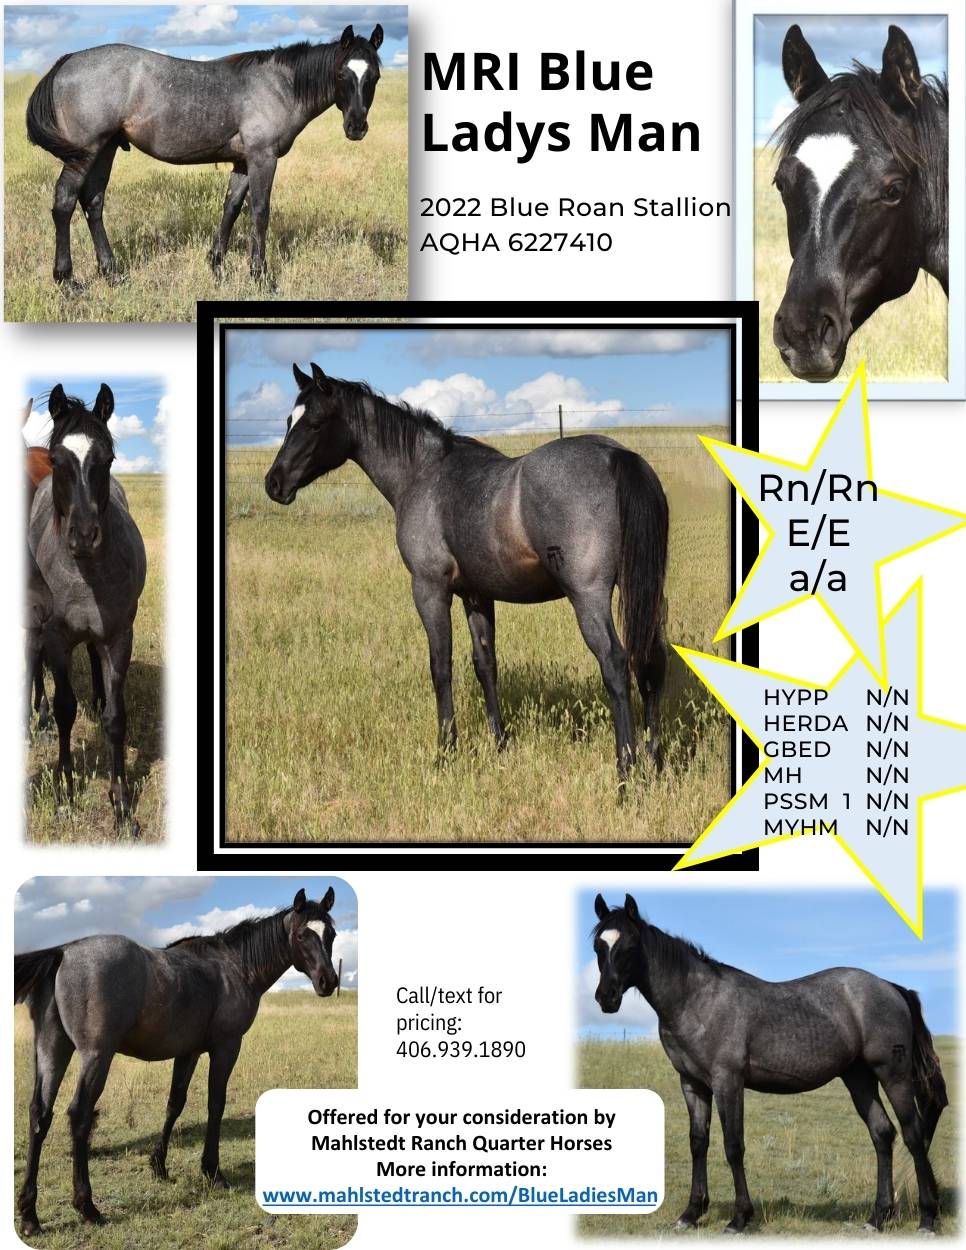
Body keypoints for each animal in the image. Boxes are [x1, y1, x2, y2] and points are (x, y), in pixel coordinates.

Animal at [14, 886, 338, 1235]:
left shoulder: (188, 1052)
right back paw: (87, 1206)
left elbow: (174, 1104)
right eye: (303, 935)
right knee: (79, 1115)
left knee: (40, 1115)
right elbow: (215, 1104)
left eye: (330, 934)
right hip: (96, 1055)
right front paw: (212, 1172)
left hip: (52, 1049)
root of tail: (64, 951)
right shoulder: (226, 1047)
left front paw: (159, 1165)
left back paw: (29, 1214)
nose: (328, 981)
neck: (235, 966)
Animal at [25, 24, 384, 285]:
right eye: (342, 75)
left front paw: (217, 265)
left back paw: (111, 272)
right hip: (84, 154)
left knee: (93, 203)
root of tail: (68, 59)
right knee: (65, 203)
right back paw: (66, 279)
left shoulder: (242, 161)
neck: (280, 85)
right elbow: (260, 212)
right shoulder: (262, 157)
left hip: (106, 149)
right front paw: (260, 275)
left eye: (374, 76)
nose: (356, 127)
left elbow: (231, 209)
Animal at [28, 384, 146, 834]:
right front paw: (64, 791)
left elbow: (115, 719)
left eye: (108, 458)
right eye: (57, 459)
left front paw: (122, 804)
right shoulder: (56, 638)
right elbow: (65, 709)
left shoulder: (119, 636)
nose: (83, 534)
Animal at [263, 364, 669, 781]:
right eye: (289, 420)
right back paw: (654, 760)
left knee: (616, 663)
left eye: (314, 423)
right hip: (647, 592)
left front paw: (445, 751)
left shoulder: (429, 590)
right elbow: (485, 665)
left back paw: (625, 769)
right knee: (652, 660)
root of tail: (617, 455)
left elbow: (441, 666)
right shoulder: (477, 595)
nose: (274, 483)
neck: (424, 475)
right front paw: (500, 743)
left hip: (589, 596)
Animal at [592, 894, 948, 1235]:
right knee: (882, 1134)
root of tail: (891, 987)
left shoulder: (727, 1082)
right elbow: (698, 1143)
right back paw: (877, 1218)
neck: (696, 1000)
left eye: (629, 946)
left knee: (913, 1135)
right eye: (599, 946)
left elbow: (733, 1145)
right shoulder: (692, 1083)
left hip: (893, 1076)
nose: (606, 997)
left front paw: (739, 1218)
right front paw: (691, 1214)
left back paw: (927, 1219)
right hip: (858, 1078)